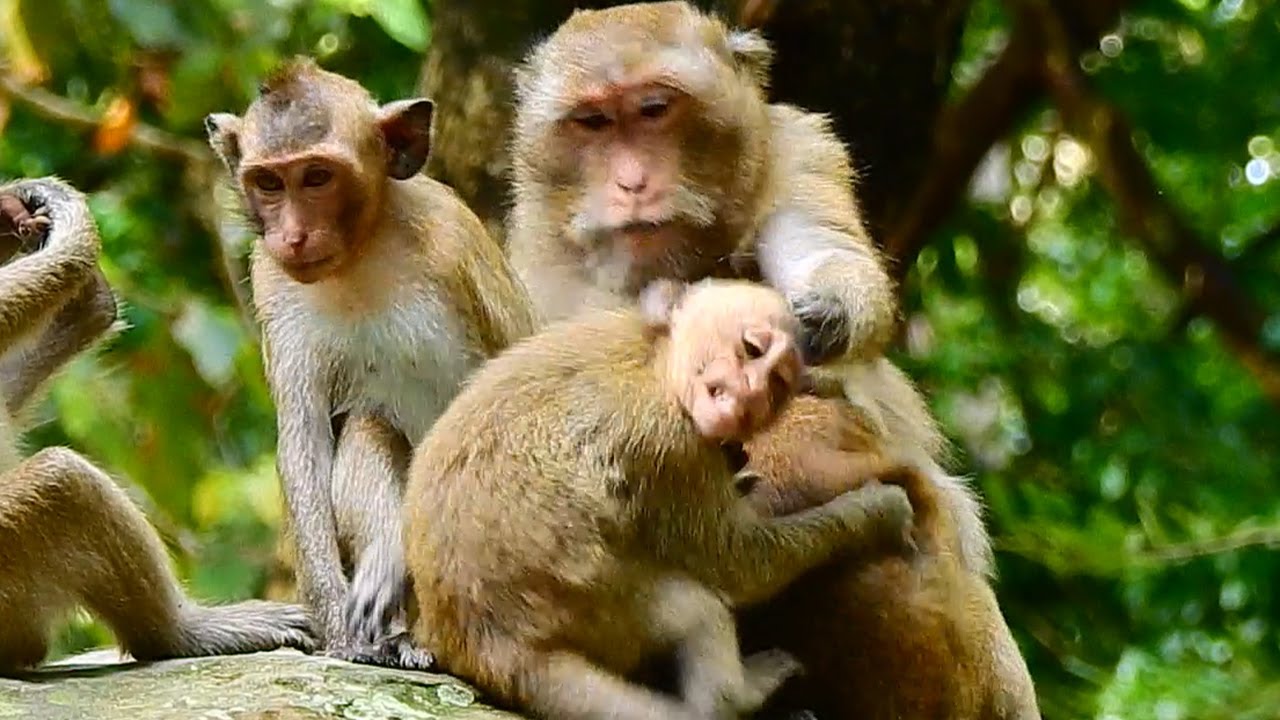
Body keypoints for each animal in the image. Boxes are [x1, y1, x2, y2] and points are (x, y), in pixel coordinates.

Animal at [203, 57, 538, 666]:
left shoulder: (454, 245)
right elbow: (305, 442)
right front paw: (341, 632)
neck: (360, 255)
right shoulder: (272, 281)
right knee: (368, 422)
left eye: (317, 177)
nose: (293, 235)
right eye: (269, 182)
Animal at [403, 277, 916, 720]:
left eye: (775, 386)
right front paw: (878, 512)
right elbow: (739, 566)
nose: (750, 395)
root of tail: (486, 645)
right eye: (750, 350)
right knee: (698, 607)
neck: (657, 364)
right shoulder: (670, 445)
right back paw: (735, 698)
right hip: (600, 611)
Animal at [504, 0, 994, 582]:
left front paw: (821, 318)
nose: (632, 183)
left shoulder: (801, 150)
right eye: (593, 122)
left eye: (654, 109)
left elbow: (827, 253)